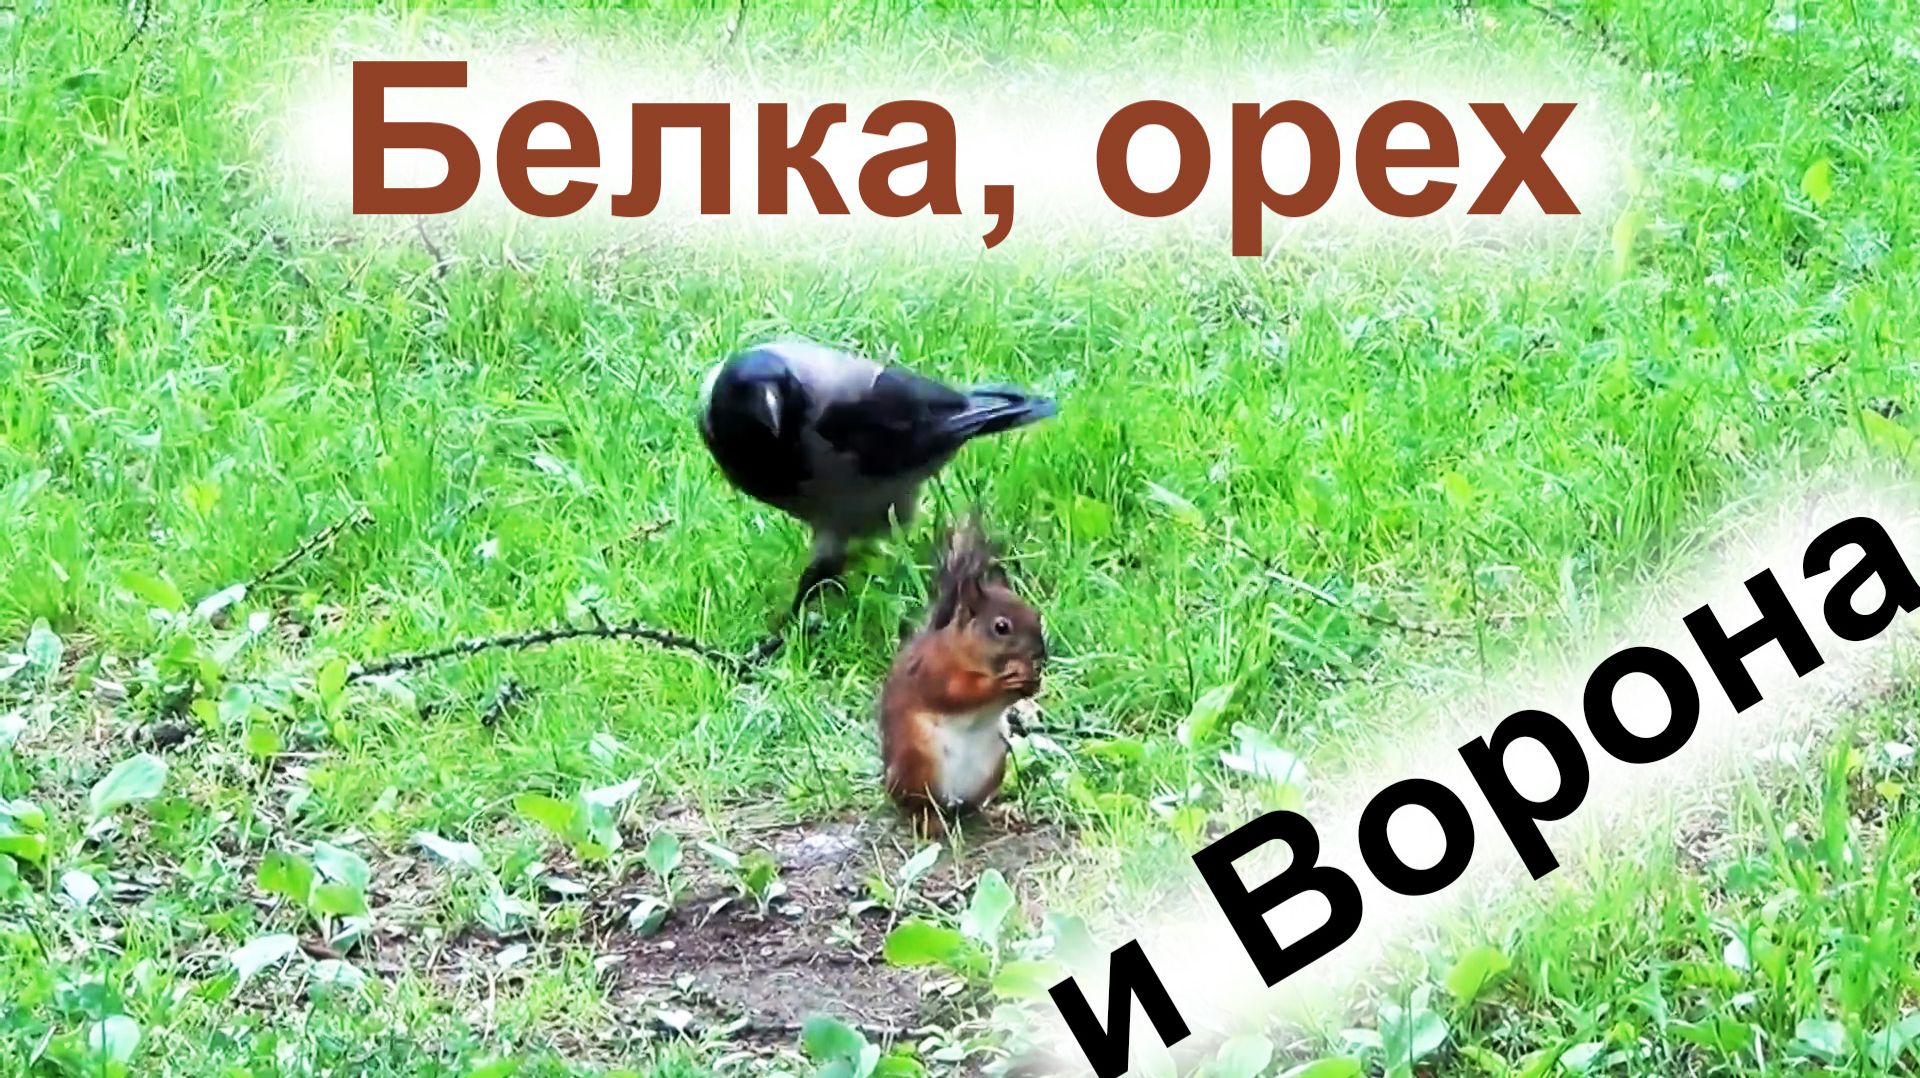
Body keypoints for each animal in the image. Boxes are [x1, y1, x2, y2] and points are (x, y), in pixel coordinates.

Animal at [879, 512, 1047, 834]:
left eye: (1036, 615)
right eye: (1001, 627)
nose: (1041, 654)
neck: (966, 653)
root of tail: (949, 802)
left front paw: (1032, 682)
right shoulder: (933, 672)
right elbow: (958, 694)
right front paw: (1004, 682)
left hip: (994, 763)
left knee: (972, 806)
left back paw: (997, 813)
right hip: (916, 764)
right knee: (916, 805)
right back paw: (929, 822)